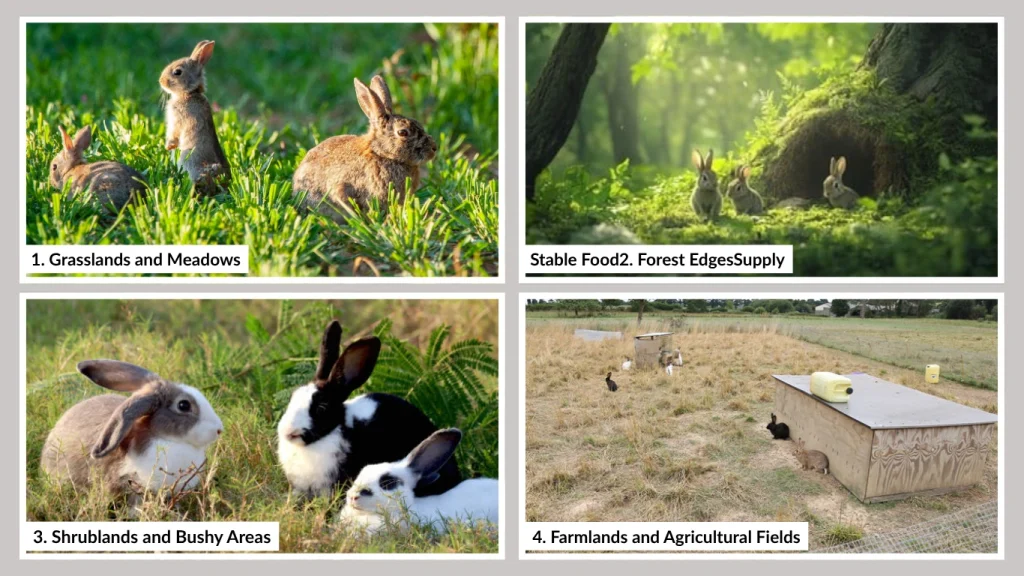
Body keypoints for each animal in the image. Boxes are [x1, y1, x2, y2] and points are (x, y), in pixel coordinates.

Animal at [160, 40, 231, 196]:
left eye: (177, 72)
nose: (161, 81)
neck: (189, 93)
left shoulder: (178, 121)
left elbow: (174, 134)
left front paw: (169, 146)